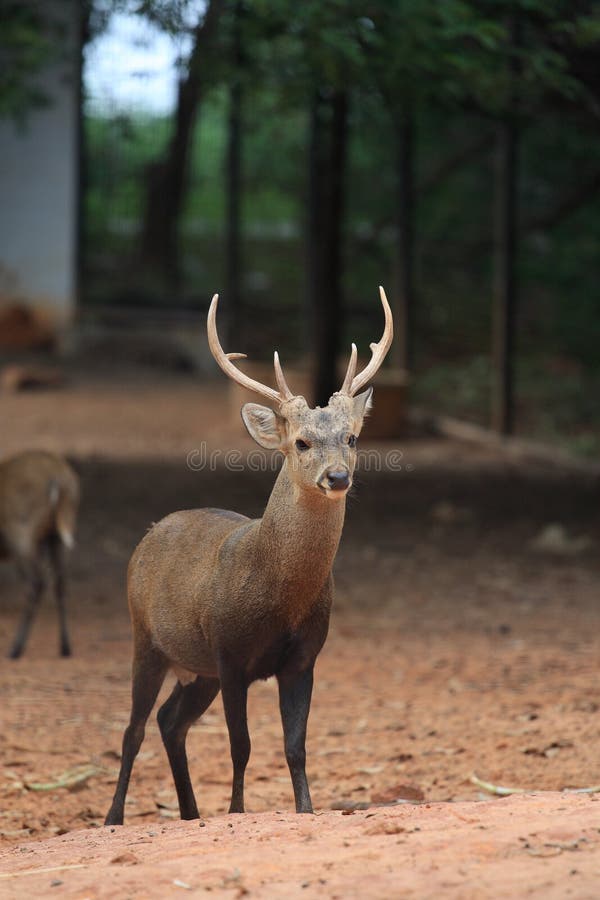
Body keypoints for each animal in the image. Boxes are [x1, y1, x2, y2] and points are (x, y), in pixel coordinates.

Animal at [0, 450, 79, 658]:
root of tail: (62, 481)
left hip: (23, 536)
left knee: (37, 583)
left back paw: (15, 649)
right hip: (57, 538)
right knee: (60, 584)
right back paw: (65, 648)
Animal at [105, 287, 393, 826]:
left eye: (352, 437)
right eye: (301, 441)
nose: (337, 477)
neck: (279, 596)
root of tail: (151, 533)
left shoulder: (302, 657)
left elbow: (295, 746)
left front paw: (306, 810)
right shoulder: (230, 651)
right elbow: (241, 746)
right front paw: (237, 811)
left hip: (197, 670)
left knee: (170, 721)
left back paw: (190, 813)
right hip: (146, 637)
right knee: (133, 729)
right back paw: (114, 818)